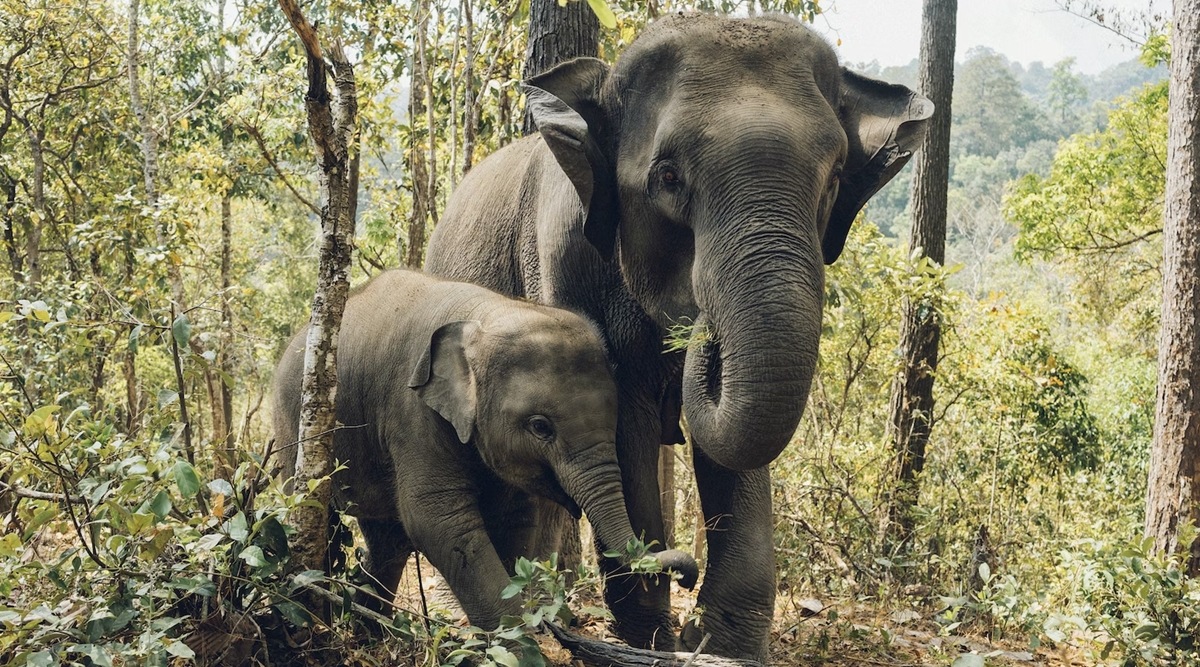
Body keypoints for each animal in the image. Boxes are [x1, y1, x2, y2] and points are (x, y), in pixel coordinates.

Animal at [271, 269, 698, 633]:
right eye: (540, 426)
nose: (687, 577)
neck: (486, 314)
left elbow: (515, 519)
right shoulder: (412, 411)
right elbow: (437, 519)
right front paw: (520, 640)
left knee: (388, 540)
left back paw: (371, 633)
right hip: (294, 426)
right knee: (318, 517)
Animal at [424, 12, 932, 660]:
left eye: (836, 178)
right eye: (667, 177)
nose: (701, 330)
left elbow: (734, 444)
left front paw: (722, 645)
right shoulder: (565, 262)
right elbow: (625, 422)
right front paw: (655, 639)